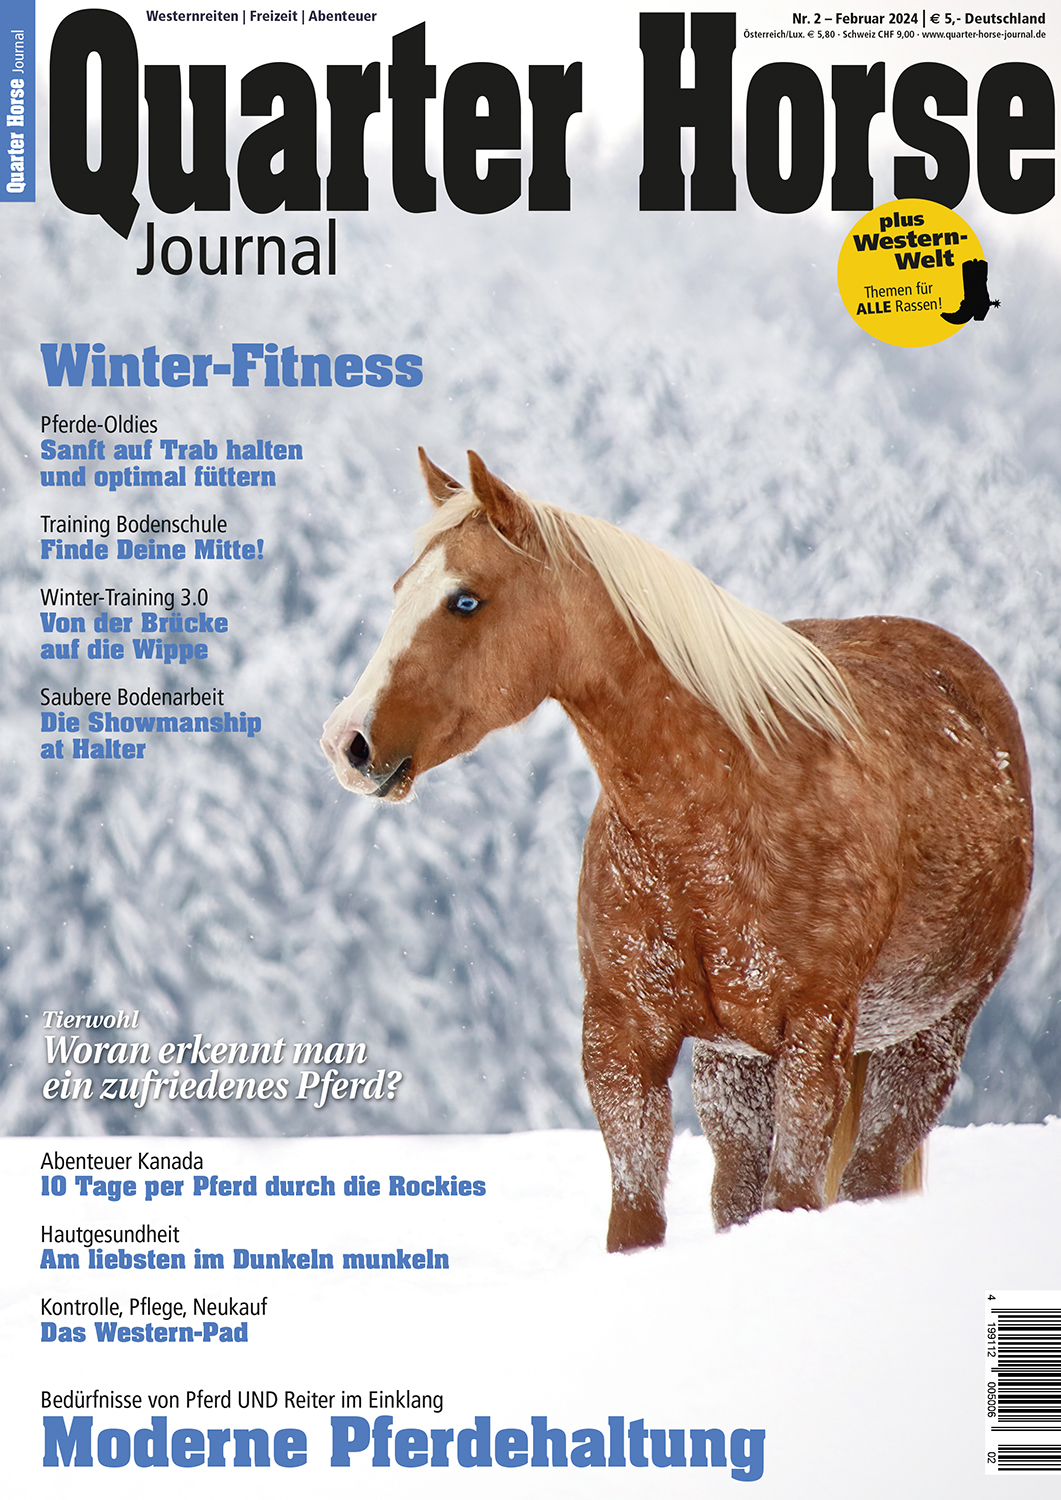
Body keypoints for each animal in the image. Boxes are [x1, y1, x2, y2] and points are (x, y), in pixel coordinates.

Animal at [321, 451, 1034, 1252]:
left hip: (925, 1037)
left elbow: (793, 1196)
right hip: (734, 1066)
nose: (348, 743)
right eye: (399, 590)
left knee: (868, 1176)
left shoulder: (813, 1037)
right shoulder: (622, 1044)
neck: (707, 828)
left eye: (465, 601)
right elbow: (636, 1219)